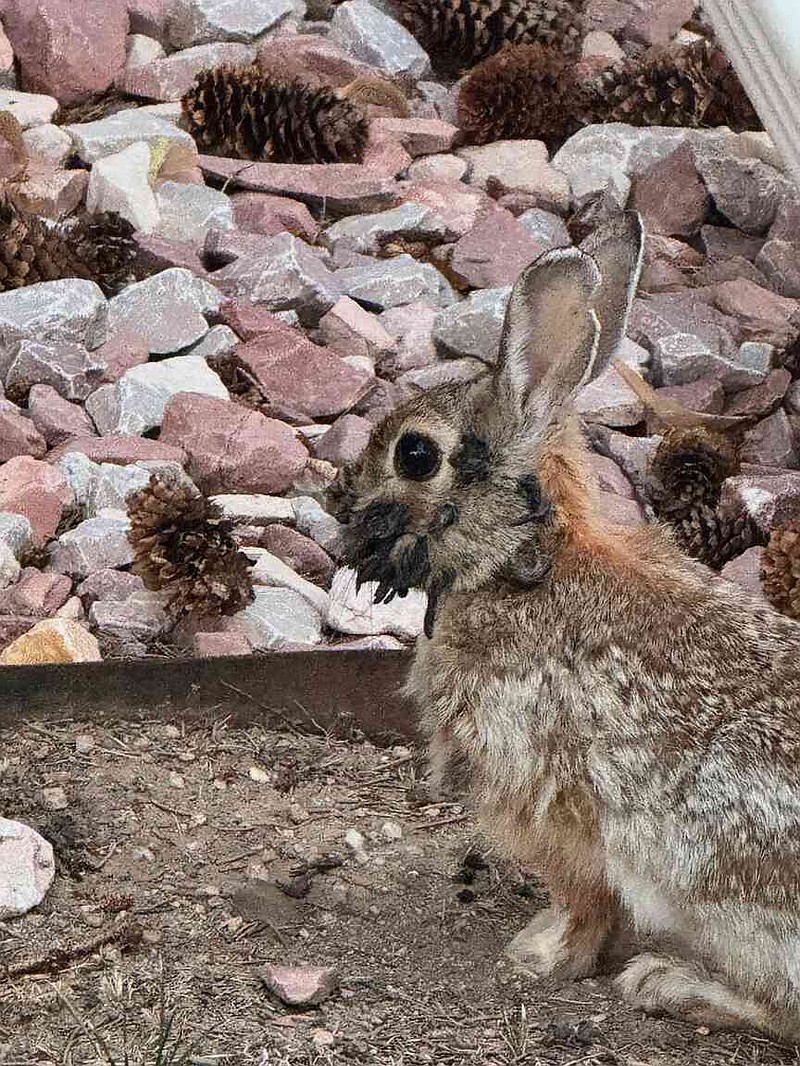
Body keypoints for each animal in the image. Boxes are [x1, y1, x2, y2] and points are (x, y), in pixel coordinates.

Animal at [336, 210, 800, 1043]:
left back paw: (667, 984)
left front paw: (541, 957)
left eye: (414, 454)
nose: (339, 500)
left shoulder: (546, 794)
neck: (523, 562)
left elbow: (582, 896)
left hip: (719, 874)